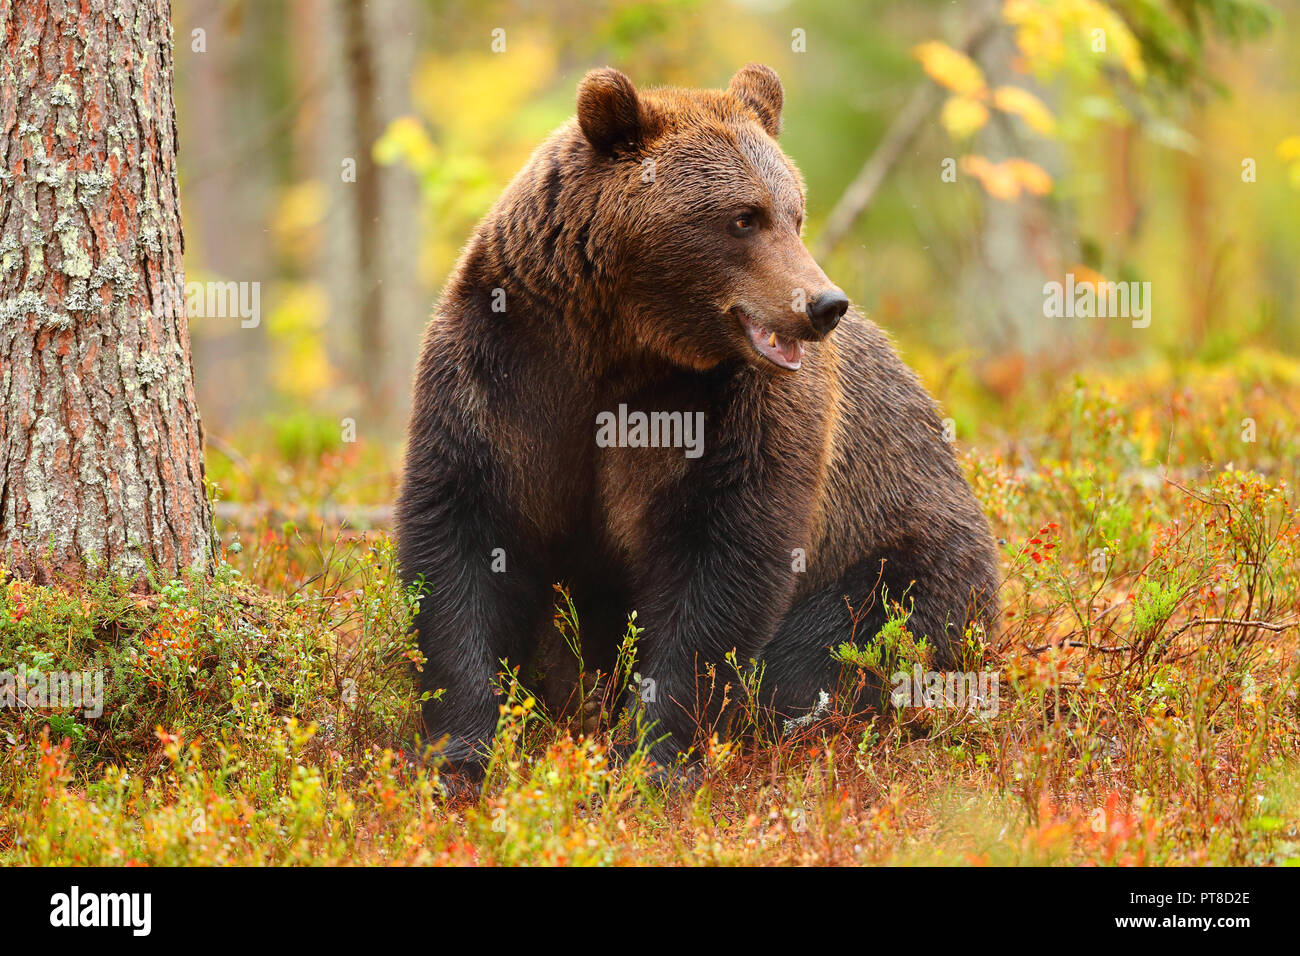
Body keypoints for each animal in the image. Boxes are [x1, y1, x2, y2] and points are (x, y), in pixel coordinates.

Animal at [395, 64, 999, 778]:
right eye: (744, 217)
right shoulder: (506, 371)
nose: (824, 304)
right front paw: (460, 748)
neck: (620, 344)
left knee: (839, 641)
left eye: (795, 212)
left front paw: (652, 753)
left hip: (905, 546)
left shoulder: (735, 411)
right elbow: (466, 534)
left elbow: (720, 562)